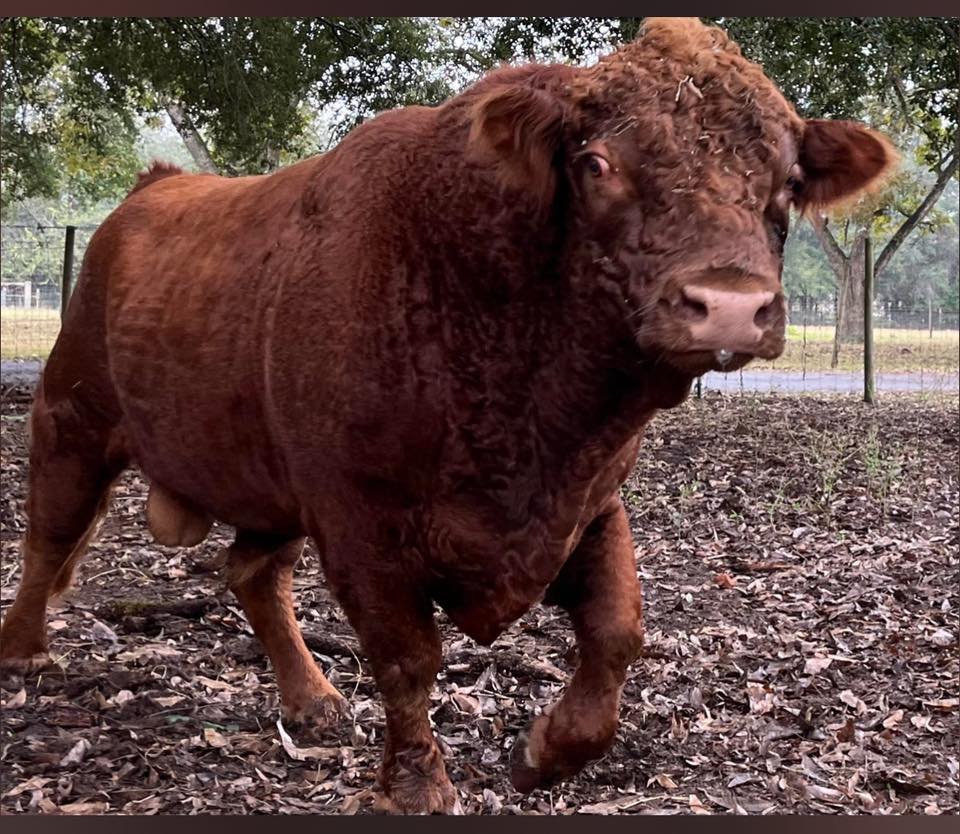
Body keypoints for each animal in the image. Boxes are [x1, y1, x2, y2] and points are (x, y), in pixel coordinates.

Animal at [0, 17, 894, 813]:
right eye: (597, 162)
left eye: (788, 182)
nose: (730, 305)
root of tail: (149, 189)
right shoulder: (361, 526)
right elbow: (408, 660)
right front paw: (418, 787)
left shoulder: (588, 503)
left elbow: (617, 633)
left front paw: (541, 755)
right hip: (73, 423)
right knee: (48, 540)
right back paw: (24, 652)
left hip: (266, 482)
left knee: (253, 572)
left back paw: (311, 700)